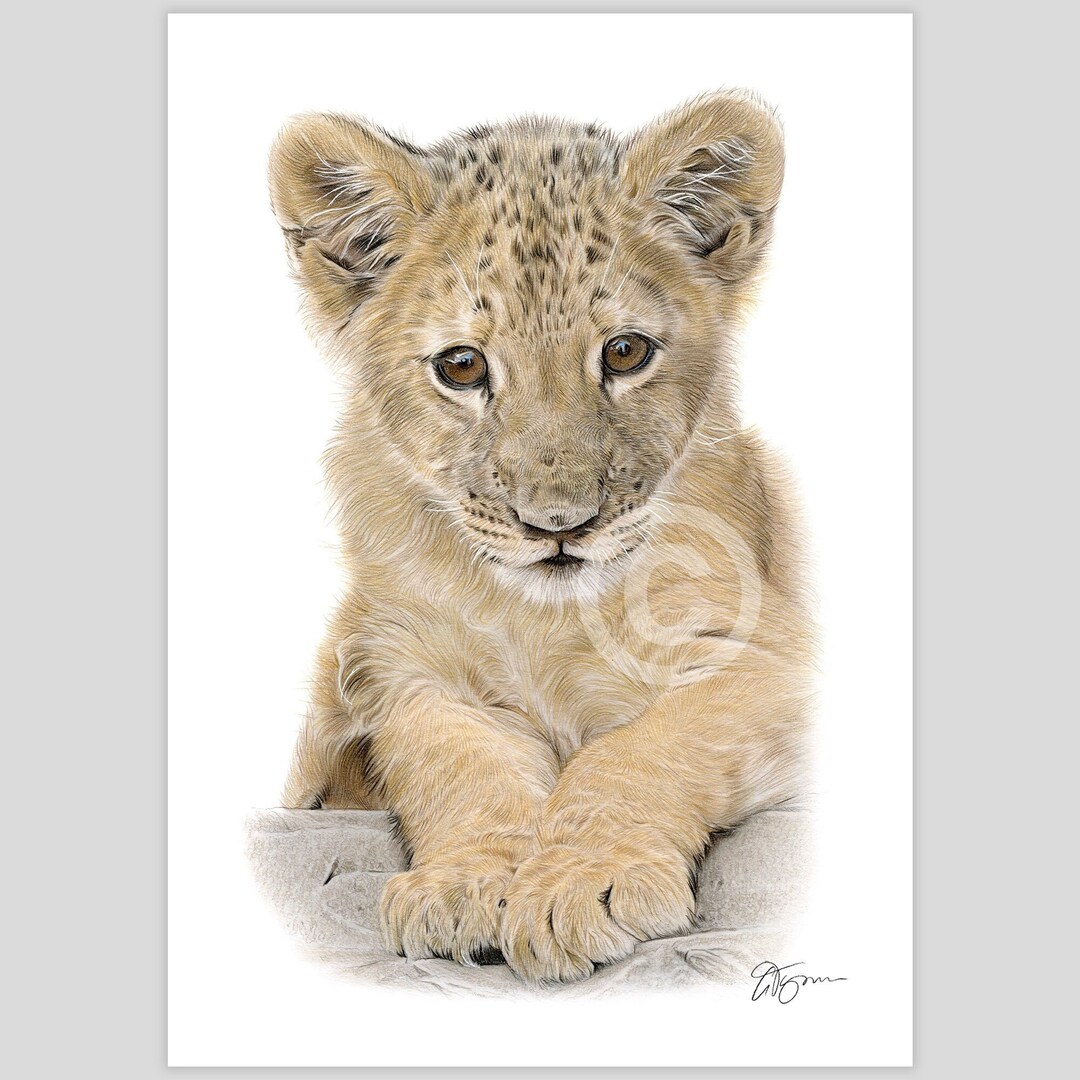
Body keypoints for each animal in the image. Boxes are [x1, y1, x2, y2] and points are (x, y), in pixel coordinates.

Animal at [267, 90, 815, 985]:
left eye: (624, 352)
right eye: (461, 367)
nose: (559, 526)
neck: (544, 620)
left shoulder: (773, 658)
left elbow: (647, 747)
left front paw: (582, 882)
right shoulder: (408, 668)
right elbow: (462, 765)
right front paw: (463, 885)